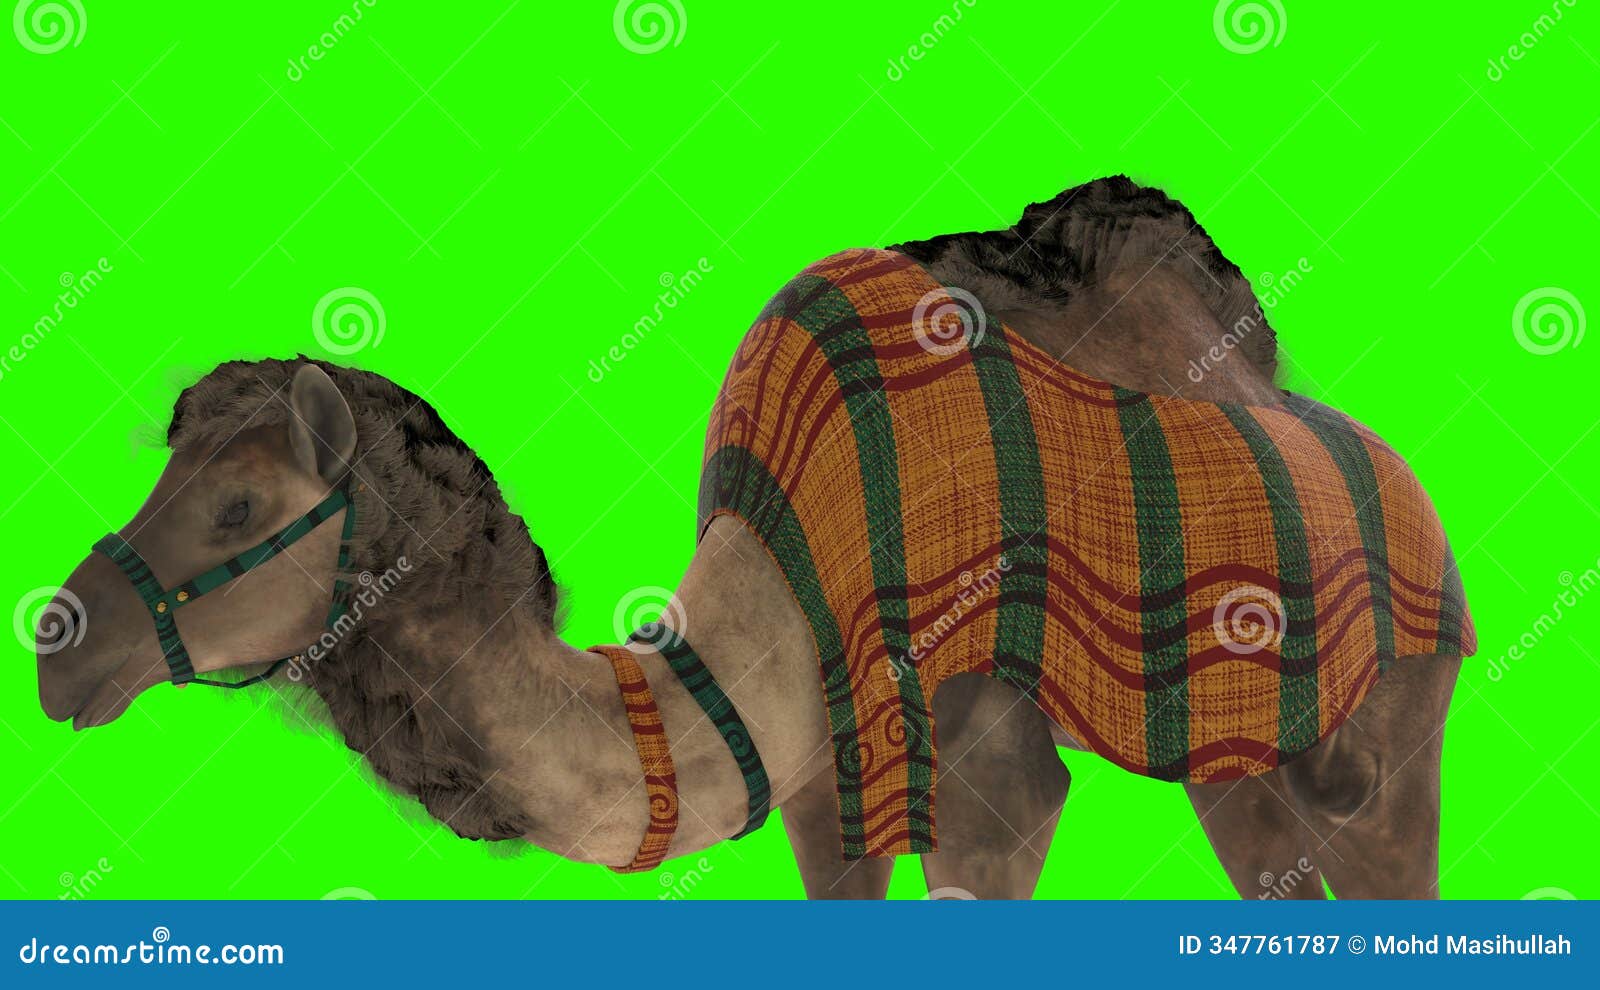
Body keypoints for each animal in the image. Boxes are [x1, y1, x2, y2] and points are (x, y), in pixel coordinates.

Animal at [34, 177, 1468, 898]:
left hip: (1383, 707)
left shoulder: (963, 750)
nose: (61, 639)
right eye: (165, 472)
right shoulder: (845, 786)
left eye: (237, 507)